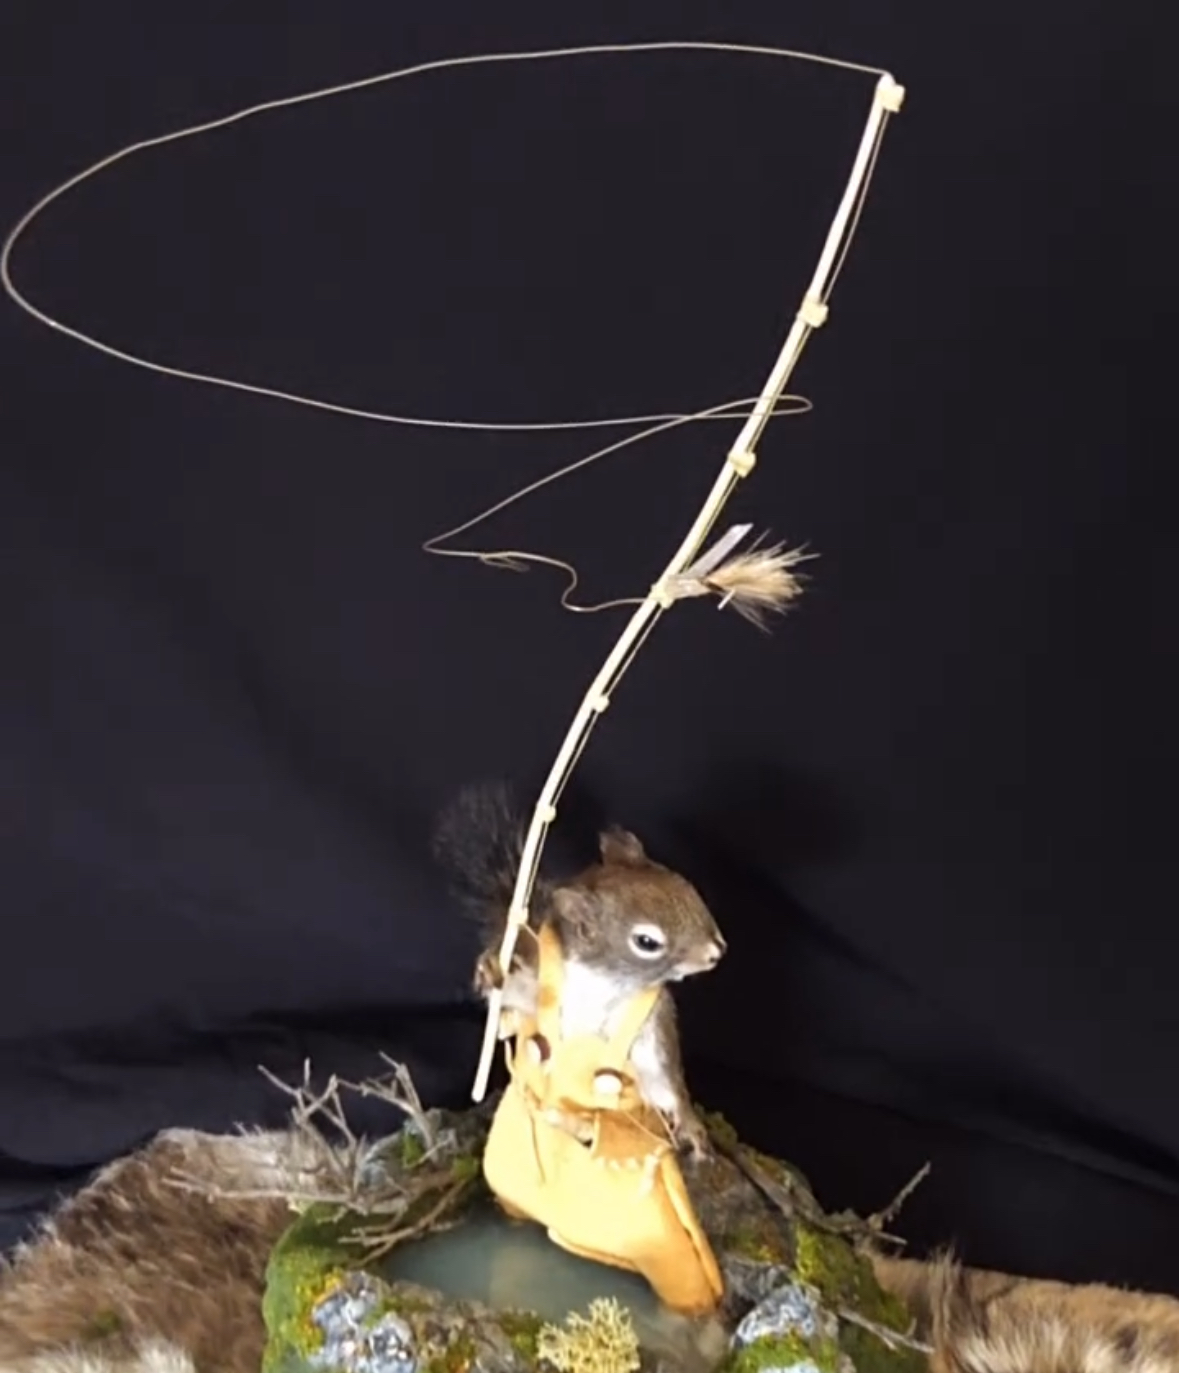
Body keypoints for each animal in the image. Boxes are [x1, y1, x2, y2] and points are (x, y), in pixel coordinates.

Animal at [432, 781, 726, 1160]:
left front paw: (690, 1126)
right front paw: (490, 969)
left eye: (686, 887)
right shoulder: (541, 980)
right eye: (646, 942)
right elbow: (514, 1000)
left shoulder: (650, 1024)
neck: (606, 982)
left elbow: (663, 1080)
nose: (716, 951)